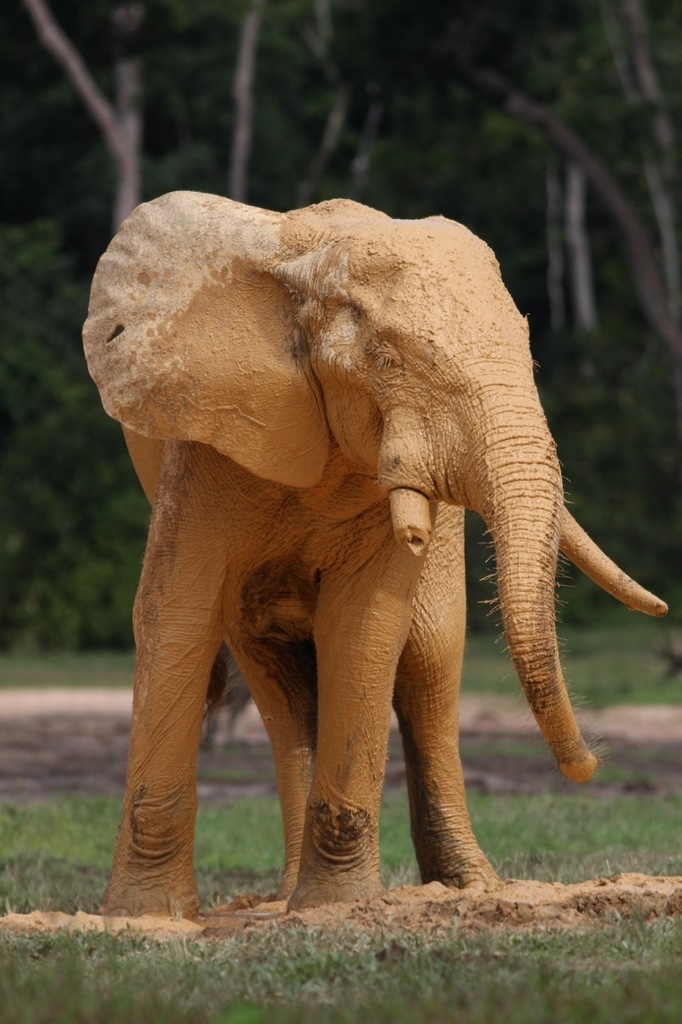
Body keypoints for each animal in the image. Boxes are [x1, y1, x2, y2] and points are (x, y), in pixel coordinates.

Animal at [82, 190, 667, 918]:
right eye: (388, 361)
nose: (591, 765)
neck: (307, 267)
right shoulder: (206, 442)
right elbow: (176, 613)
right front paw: (143, 916)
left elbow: (362, 627)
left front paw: (336, 908)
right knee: (277, 679)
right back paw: (285, 899)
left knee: (430, 663)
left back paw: (468, 888)